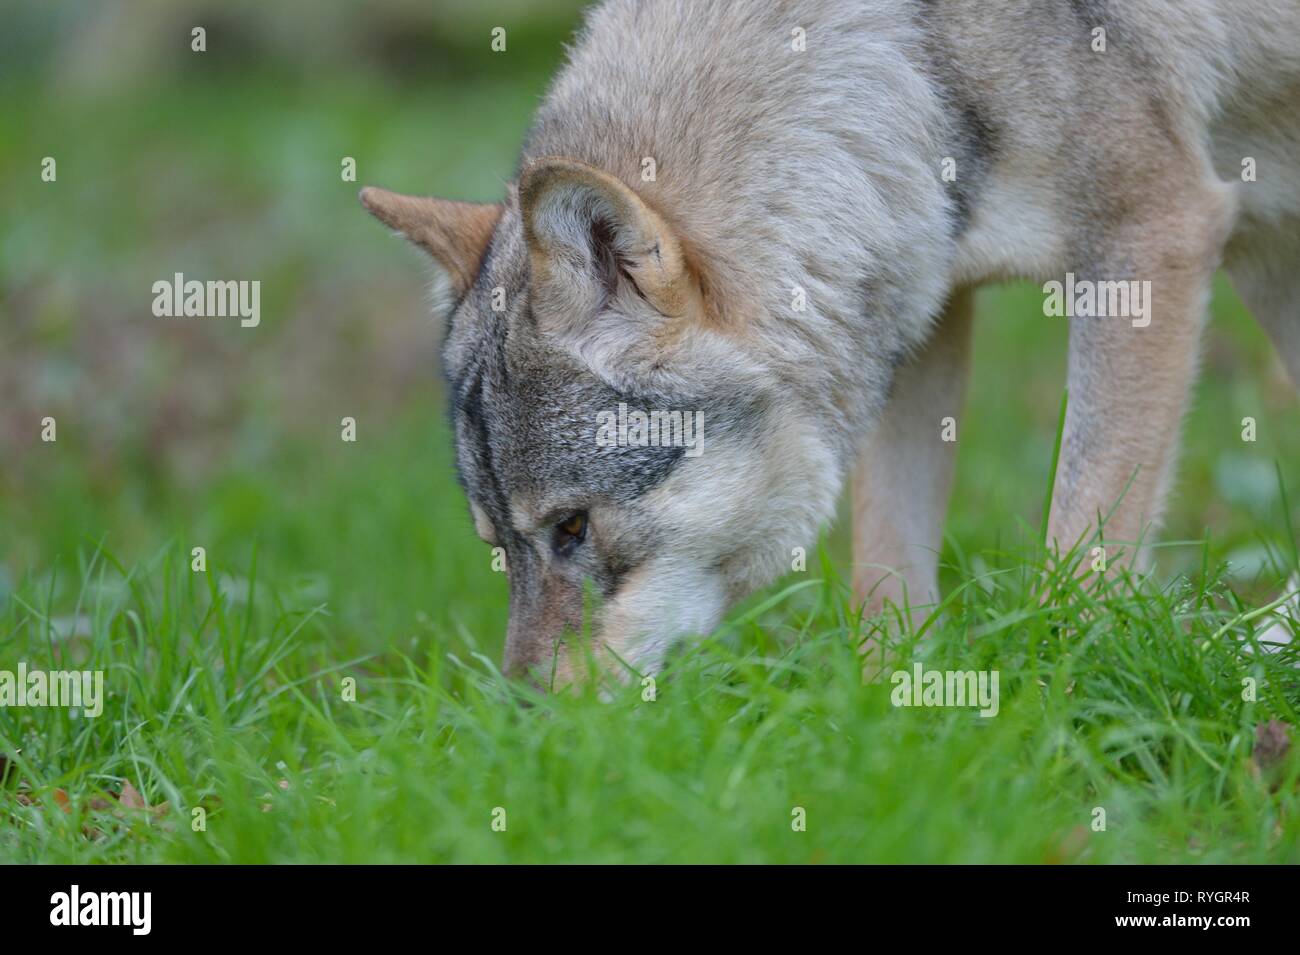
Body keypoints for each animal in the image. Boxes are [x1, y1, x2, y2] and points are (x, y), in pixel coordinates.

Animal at [362, 0, 1300, 685]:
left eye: (572, 527)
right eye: (500, 548)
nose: (522, 724)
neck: (916, 56)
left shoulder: (1152, 237)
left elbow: (1083, 543)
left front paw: (1064, 692)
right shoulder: (916, 307)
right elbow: (885, 568)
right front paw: (895, 708)